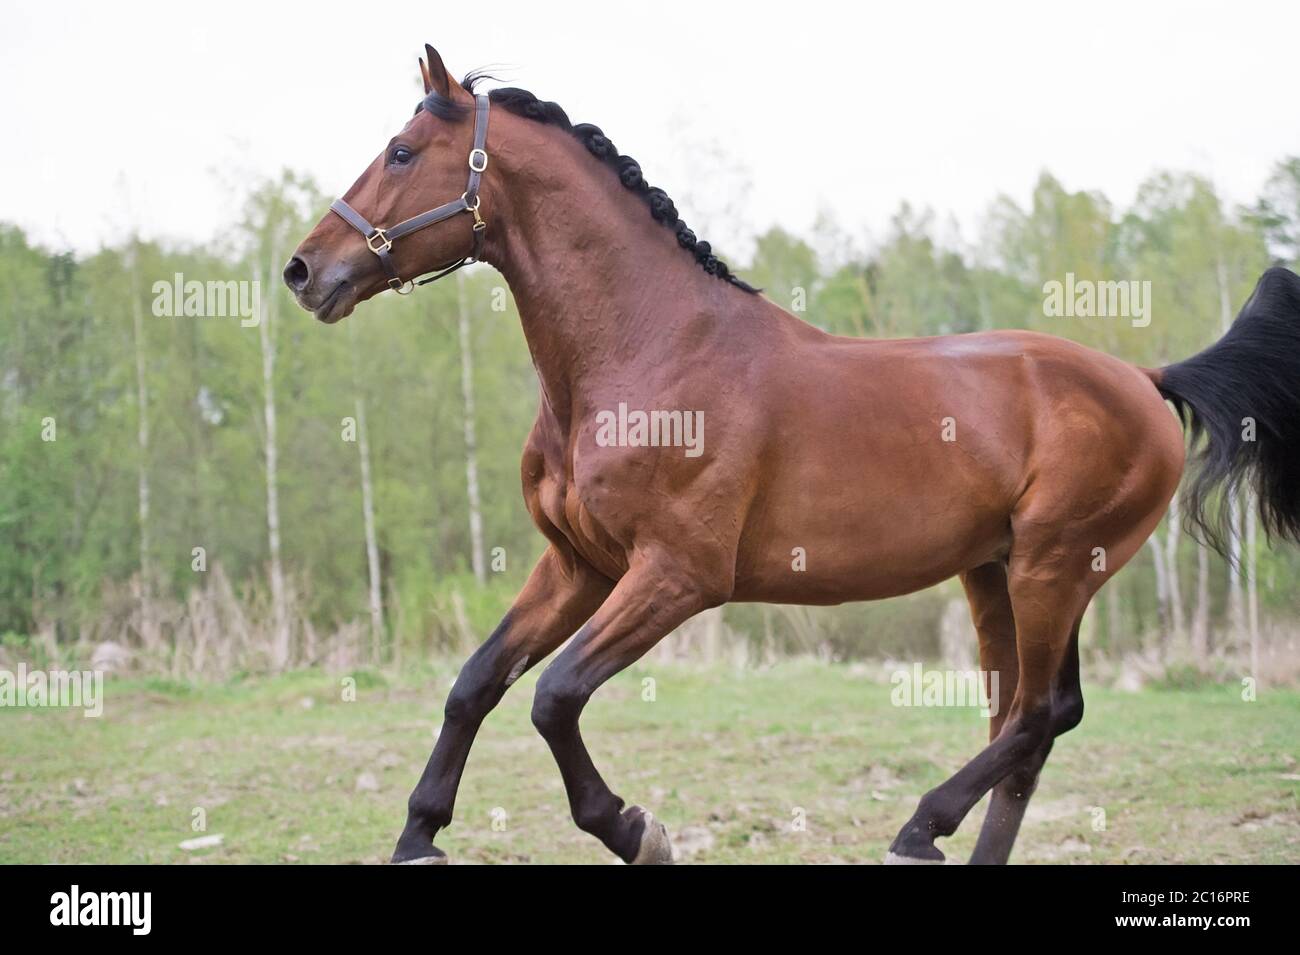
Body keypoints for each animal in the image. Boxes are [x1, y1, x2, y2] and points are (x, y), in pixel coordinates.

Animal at [284, 44, 1300, 864]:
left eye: (402, 151)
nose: (302, 270)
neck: (649, 349)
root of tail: (1144, 377)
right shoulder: (579, 564)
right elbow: (475, 683)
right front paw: (418, 835)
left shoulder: (679, 574)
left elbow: (554, 696)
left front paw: (635, 827)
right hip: (998, 573)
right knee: (1026, 723)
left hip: (1057, 567)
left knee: (1043, 713)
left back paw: (918, 828)